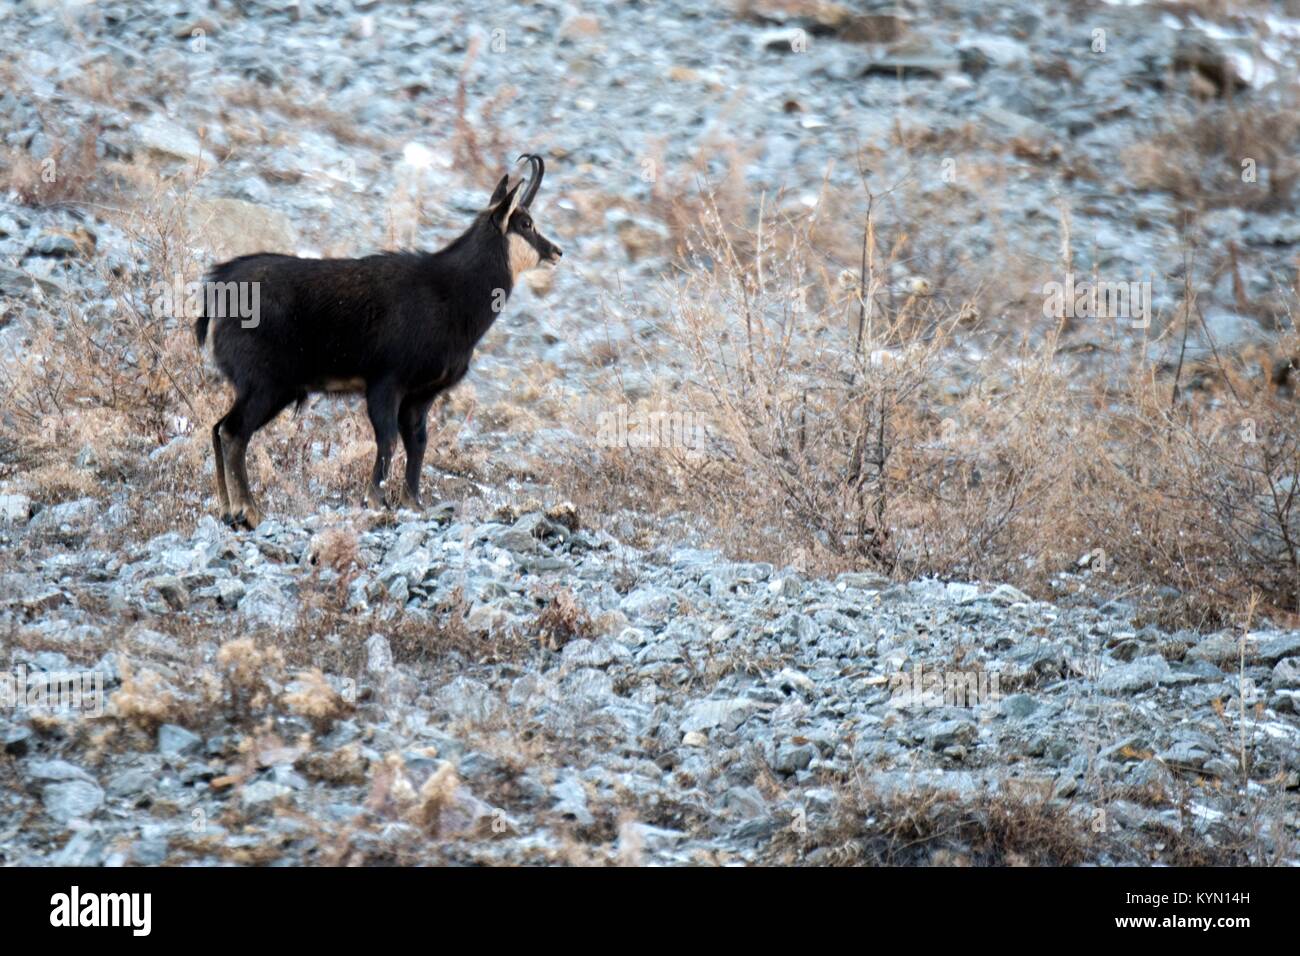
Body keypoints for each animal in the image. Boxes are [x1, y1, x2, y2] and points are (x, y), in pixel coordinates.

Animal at [194, 154, 561, 529]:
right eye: (527, 224)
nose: (556, 251)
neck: (450, 293)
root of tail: (221, 285)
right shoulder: (386, 382)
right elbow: (388, 440)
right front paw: (376, 501)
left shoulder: (420, 395)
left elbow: (417, 442)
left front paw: (413, 503)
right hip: (266, 384)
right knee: (234, 432)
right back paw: (248, 510)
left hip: (269, 389)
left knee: (218, 428)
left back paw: (226, 508)